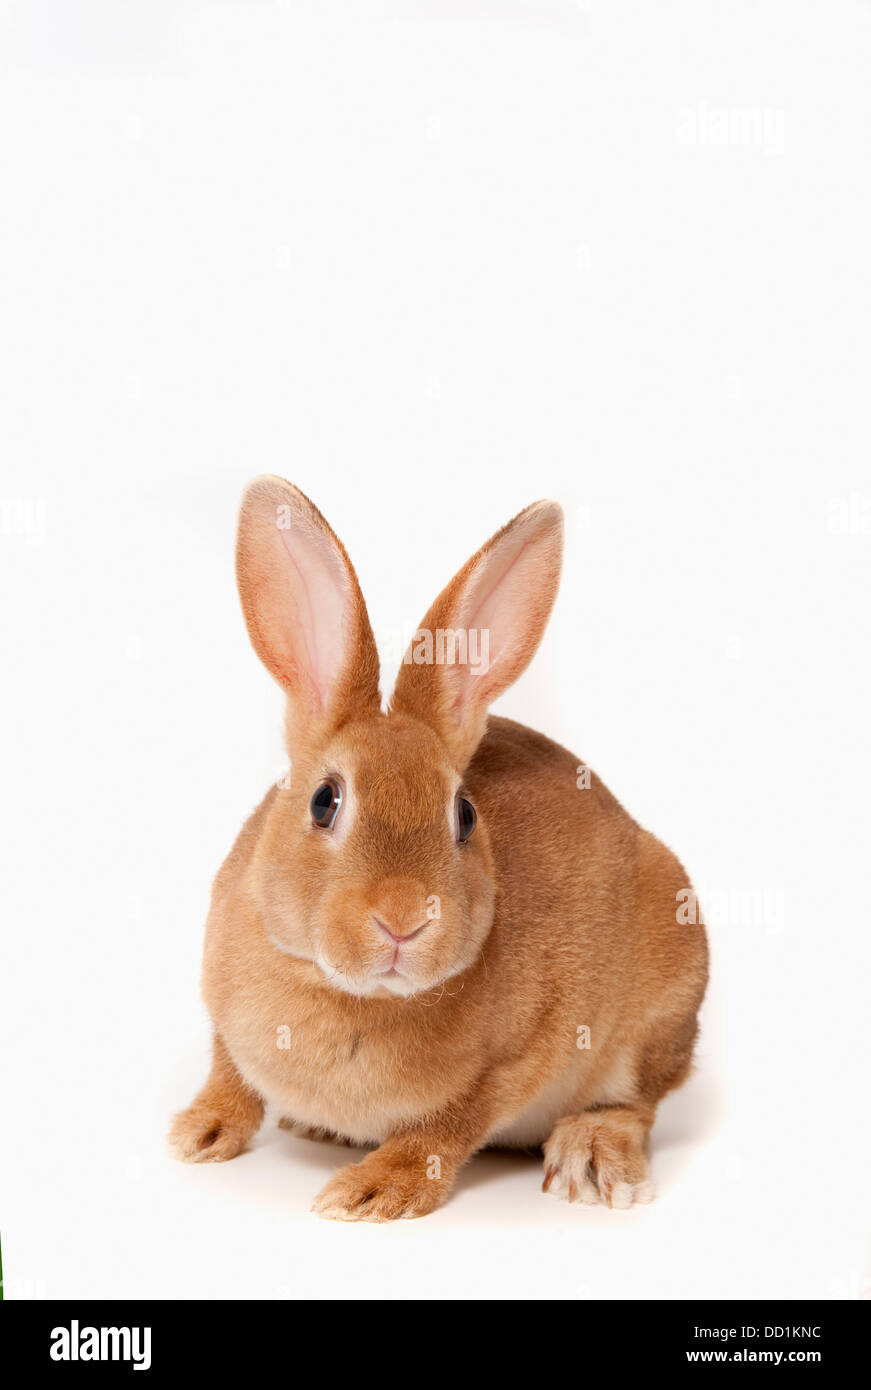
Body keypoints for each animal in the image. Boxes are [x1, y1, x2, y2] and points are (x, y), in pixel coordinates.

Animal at [168, 475, 708, 1221]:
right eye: (324, 801)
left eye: (464, 814)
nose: (403, 919)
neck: (356, 995)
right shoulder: (224, 1016)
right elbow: (230, 1076)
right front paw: (199, 1133)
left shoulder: (516, 1061)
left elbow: (447, 1126)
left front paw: (372, 1191)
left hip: (663, 1004)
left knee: (635, 1104)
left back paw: (594, 1160)